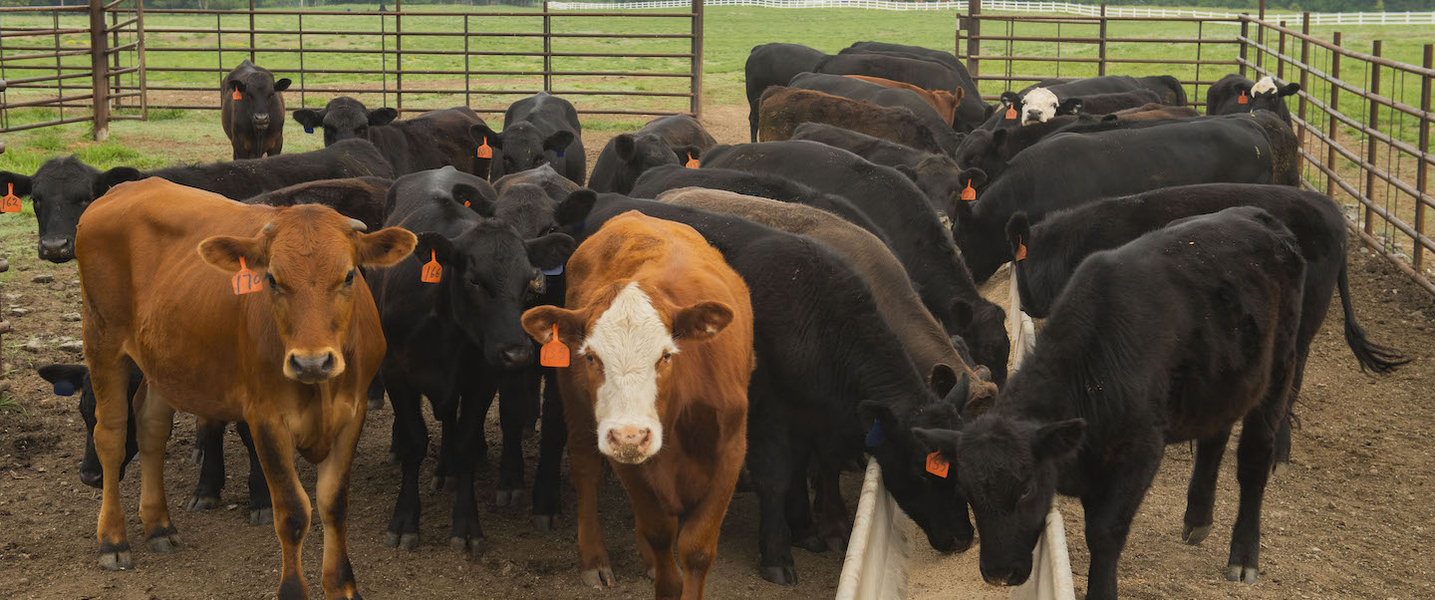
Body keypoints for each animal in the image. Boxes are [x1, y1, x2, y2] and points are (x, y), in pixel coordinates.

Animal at [76, 178, 414, 599]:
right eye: (272, 279)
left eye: (350, 275)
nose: (312, 362)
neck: (320, 388)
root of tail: (124, 188)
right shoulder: (266, 418)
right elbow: (292, 511)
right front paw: (292, 590)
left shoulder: (353, 413)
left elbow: (334, 504)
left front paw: (342, 586)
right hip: (101, 338)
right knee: (111, 435)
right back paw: (112, 539)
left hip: (162, 359)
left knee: (151, 427)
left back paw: (159, 526)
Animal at [372, 168, 574, 555]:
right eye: (474, 280)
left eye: (527, 282)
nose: (517, 352)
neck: (445, 327)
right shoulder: (396, 374)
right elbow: (414, 441)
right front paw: (404, 521)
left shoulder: (481, 379)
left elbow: (465, 442)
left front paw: (466, 525)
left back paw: (446, 469)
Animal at [521, 211, 754, 599]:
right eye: (591, 356)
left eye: (666, 355)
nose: (631, 436)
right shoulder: (621, 452)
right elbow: (660, 533)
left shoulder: (730, 454)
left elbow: (696, 550)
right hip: (579, 409)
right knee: (586, 470)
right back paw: (594, 558)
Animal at [565, 195, 976, 585]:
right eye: (923, 471)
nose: (962, 538)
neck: (814, 318)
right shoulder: (766, 411)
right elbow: (777, 475)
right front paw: (778, 553)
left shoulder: (815, 415)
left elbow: (815, 464)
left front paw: (809, 527)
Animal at [916, 207, 1307, 600]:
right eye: (967, 491)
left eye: (1026, 488)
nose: (998, 572)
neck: (1093, 372)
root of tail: (1257, 217)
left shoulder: (1139, 452)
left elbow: (1104, 533)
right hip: (1220, 384)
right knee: (1215, 438)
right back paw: (1197, 519)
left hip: (1279, 370)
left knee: (1254, 461)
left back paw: (1243, 557)